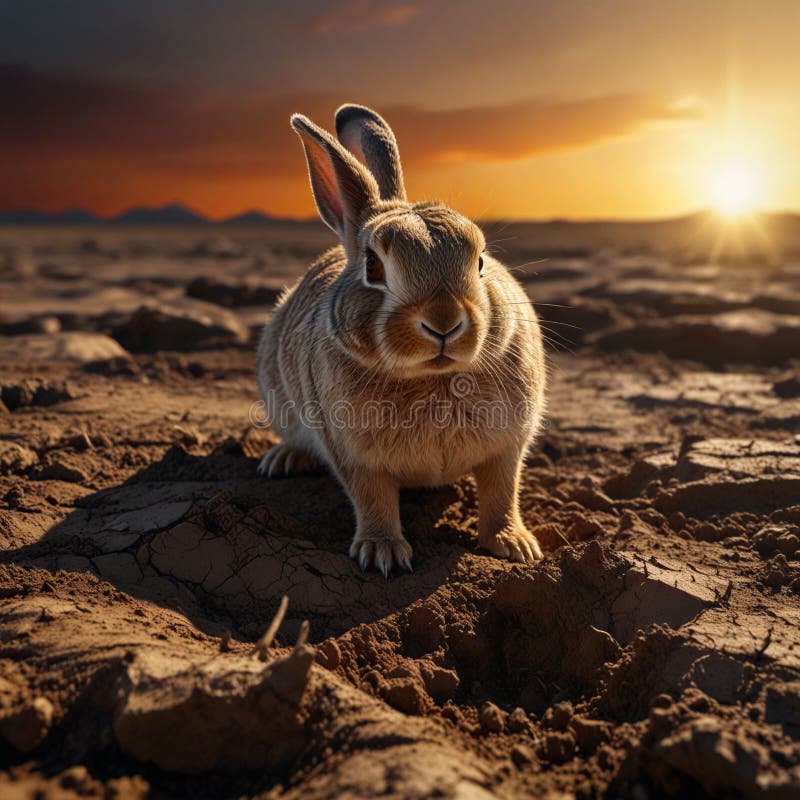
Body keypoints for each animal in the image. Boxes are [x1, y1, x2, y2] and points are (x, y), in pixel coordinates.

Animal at [257, 103, 546, 576]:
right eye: (373, 267)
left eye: (480, 261)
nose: (444, 322)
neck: (432, 377)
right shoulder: (353, 453)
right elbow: (372, 499)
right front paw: (382, 554)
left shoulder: (508, 447)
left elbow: (501, 493)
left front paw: (515, 545)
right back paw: (283, 460)